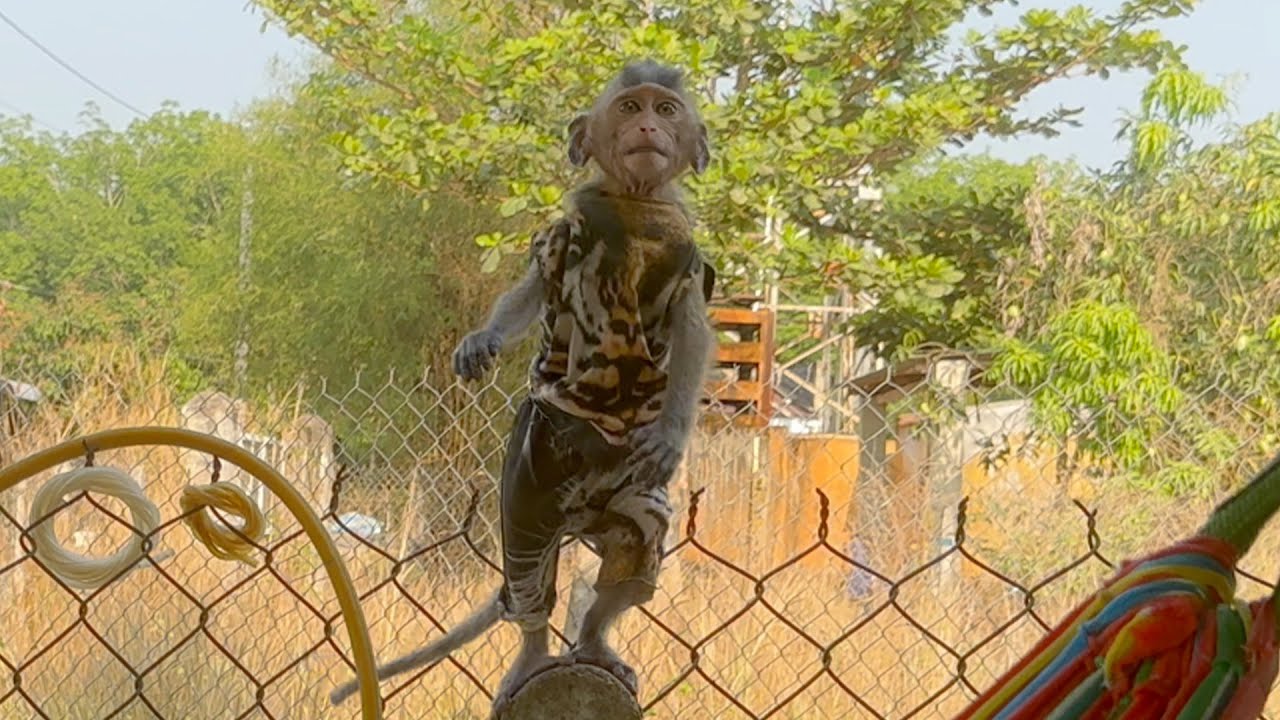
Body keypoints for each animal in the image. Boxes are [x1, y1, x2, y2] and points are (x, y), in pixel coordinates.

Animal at [328, 59, 717, 714]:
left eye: (665, 110)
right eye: (630, 107)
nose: (647, 127)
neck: (635, 200)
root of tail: (580, 517)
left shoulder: (688, 256)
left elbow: (692, 332)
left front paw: (670, 432)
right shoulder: (567, 233)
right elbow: (540, 283)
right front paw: (483, 340)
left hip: (616, 494)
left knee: (635, 540)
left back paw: (595, 637)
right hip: (536, 467)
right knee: (529, 559)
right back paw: (535, 645)